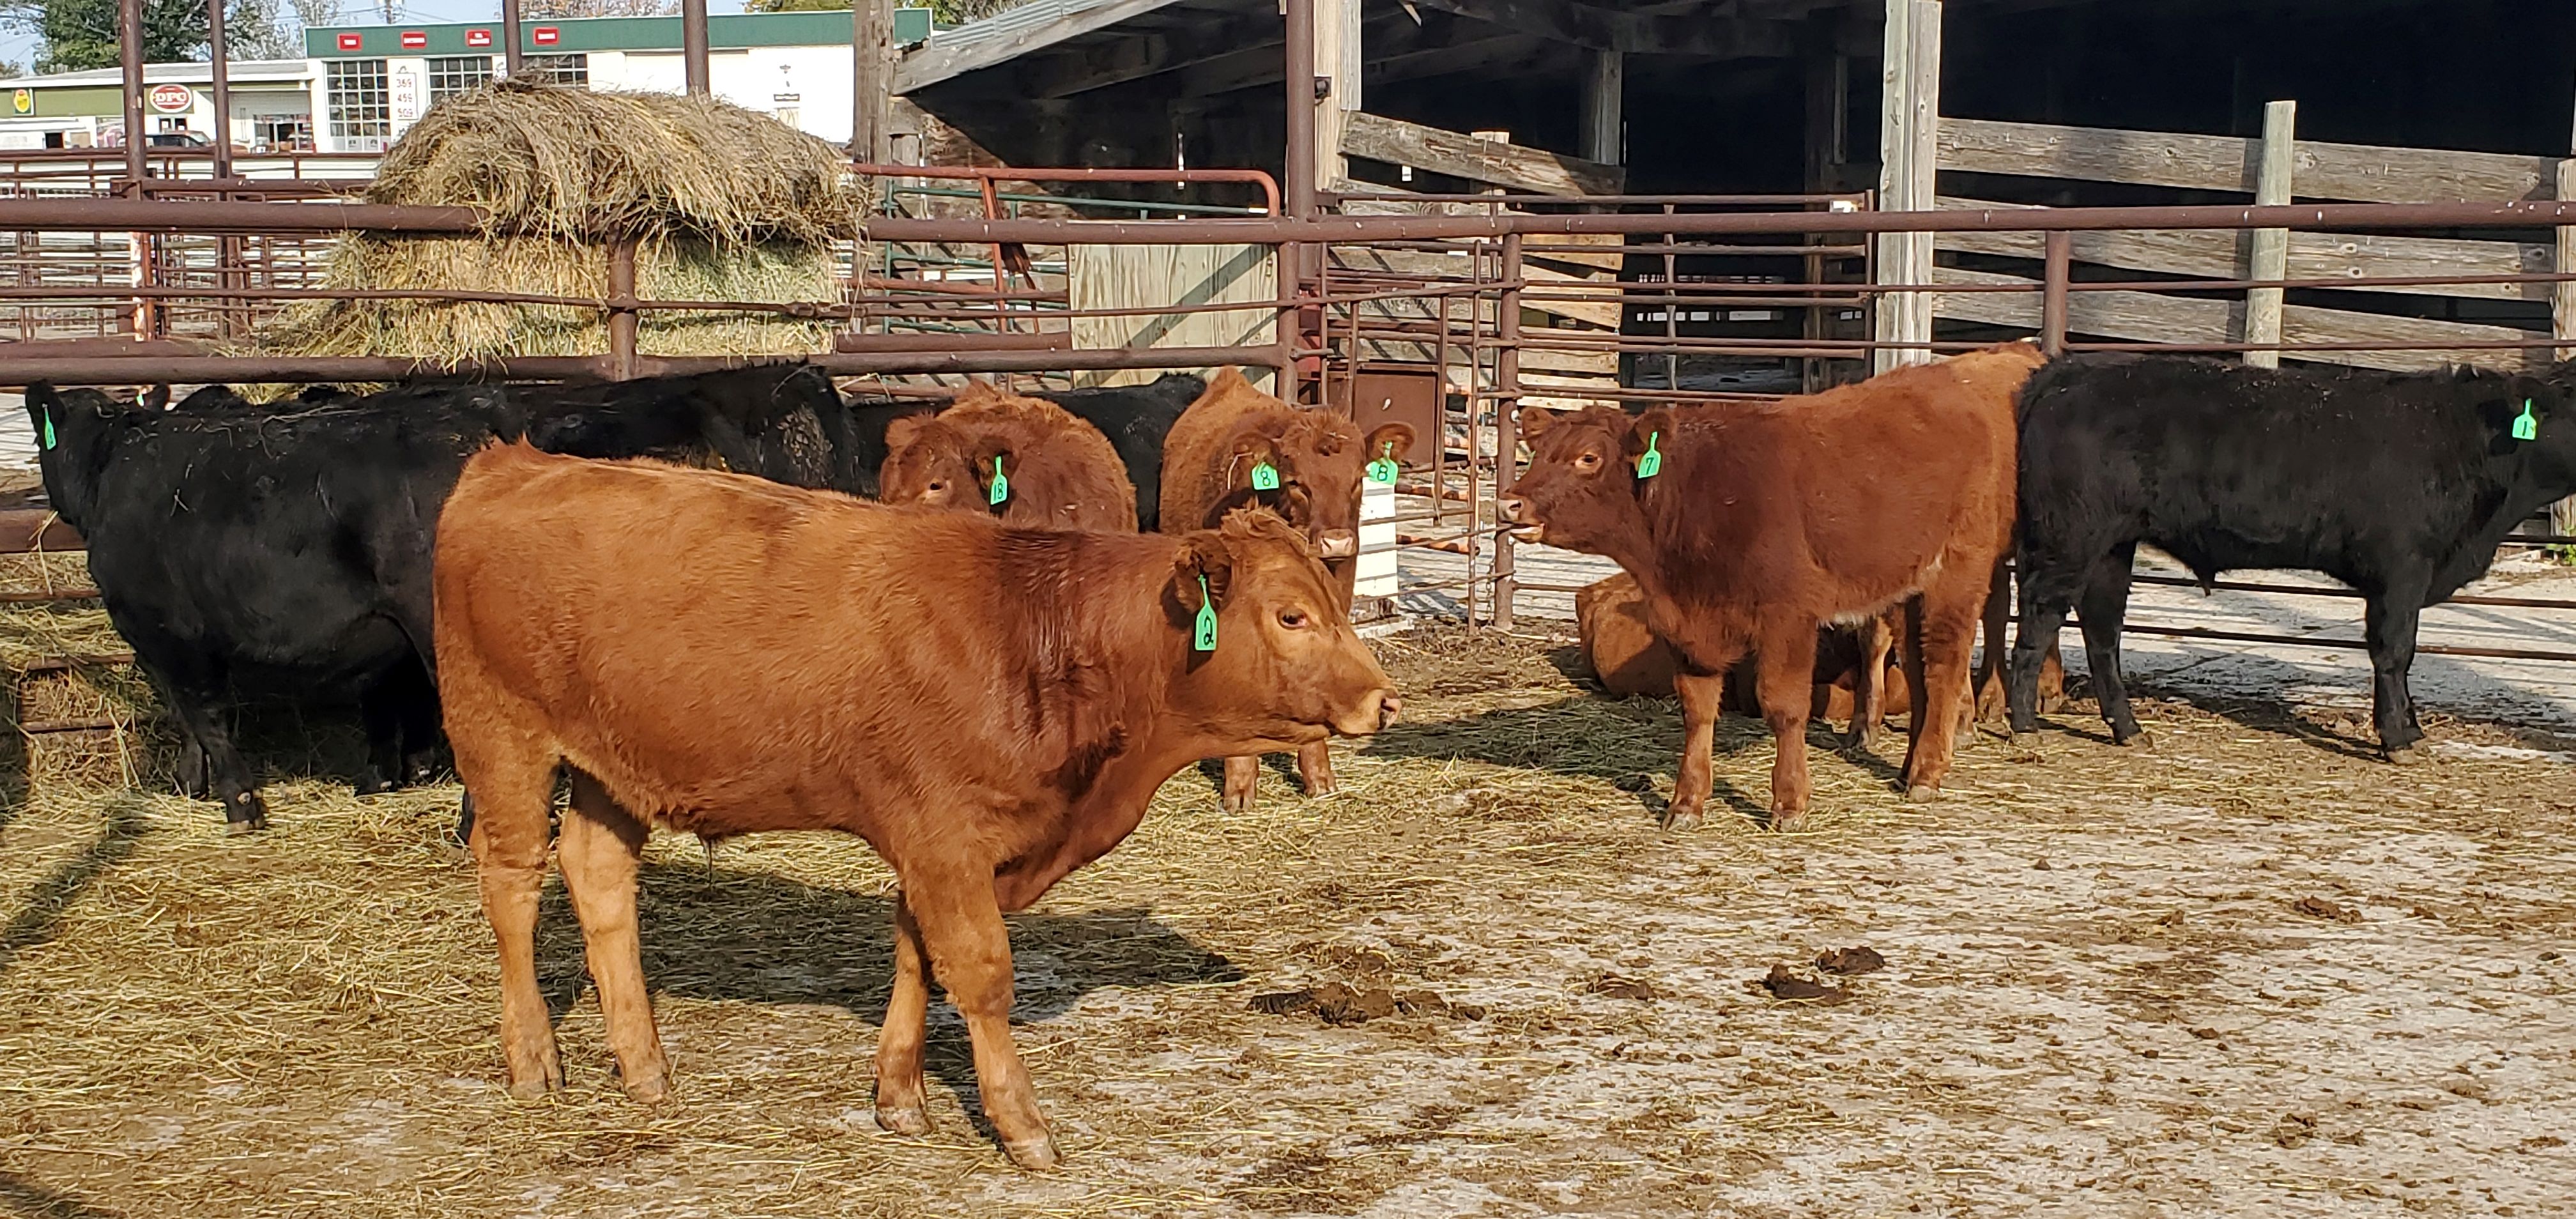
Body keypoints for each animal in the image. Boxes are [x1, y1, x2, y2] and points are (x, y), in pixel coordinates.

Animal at [432, 443, 1401, 1170]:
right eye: (1291, 617)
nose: (1385, 700)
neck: (1037, 633)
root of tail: (510, 461)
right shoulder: (943, 836)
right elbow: (979, 971)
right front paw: (1022, 1127)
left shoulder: (936, 847)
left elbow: (915, 957)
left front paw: (899, 1094)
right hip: (501, 738)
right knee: (512, 883)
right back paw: (534, 1060)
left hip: (613, 766)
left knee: (597, 878)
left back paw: (644, 1067)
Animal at [1506, 344, 2043, 830]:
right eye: (1538, 454)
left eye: (1588, 458)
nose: (1510, 503)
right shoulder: (1687, 628)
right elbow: (1697, 712)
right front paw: (1687, 803)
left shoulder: (1788, 618)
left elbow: (1784, 708)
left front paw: (1789, 802)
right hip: (1910, 584)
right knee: (1914, 665)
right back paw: (1908, 766)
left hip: (1962, 568)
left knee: (1945, 662)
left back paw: (1929, 772)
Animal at [2008, 353, 2576, 761]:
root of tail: (2073, 372)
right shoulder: (2401, 570)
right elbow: (2395, 652)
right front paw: (2397, 738)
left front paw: (2410, 730)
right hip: (2070, 539)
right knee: (2039, 615)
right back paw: (2024, 725)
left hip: (2111, 547)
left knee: (2101, 631)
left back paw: (2128, 729)